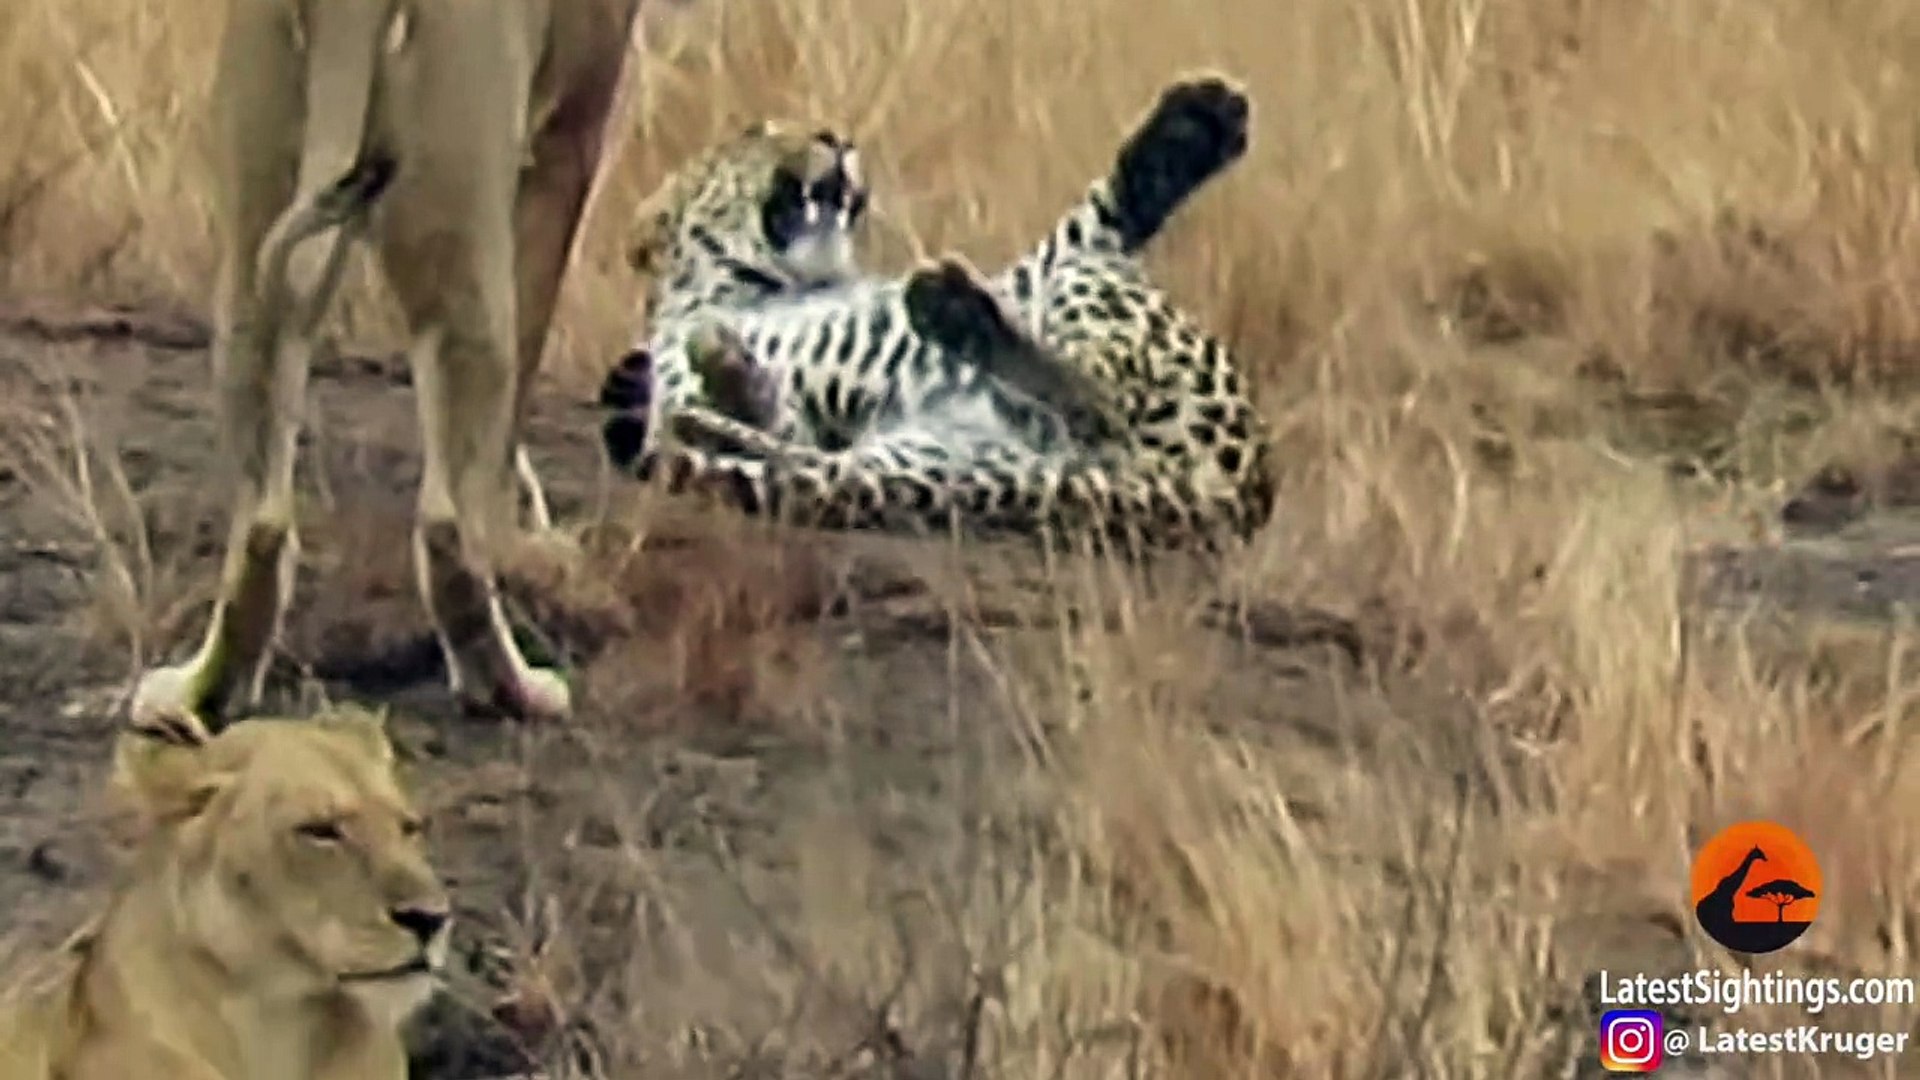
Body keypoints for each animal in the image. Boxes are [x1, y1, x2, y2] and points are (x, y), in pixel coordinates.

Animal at [131, 0, 646, 733]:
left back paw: (197, 693)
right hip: (460, 224)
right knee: (445, 526)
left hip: (253, 209)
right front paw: (526, 545)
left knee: (261, 514)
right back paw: (513, 688)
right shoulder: (568, 134)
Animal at [597, 73, 1278, 552]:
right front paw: (719, 368)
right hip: (948, 460)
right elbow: (774, 417)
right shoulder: (755, 397)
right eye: (752, 133)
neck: (765, 286)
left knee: (1090, 265)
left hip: (1077, 290)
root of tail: (1239, 497)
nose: (836, 138)